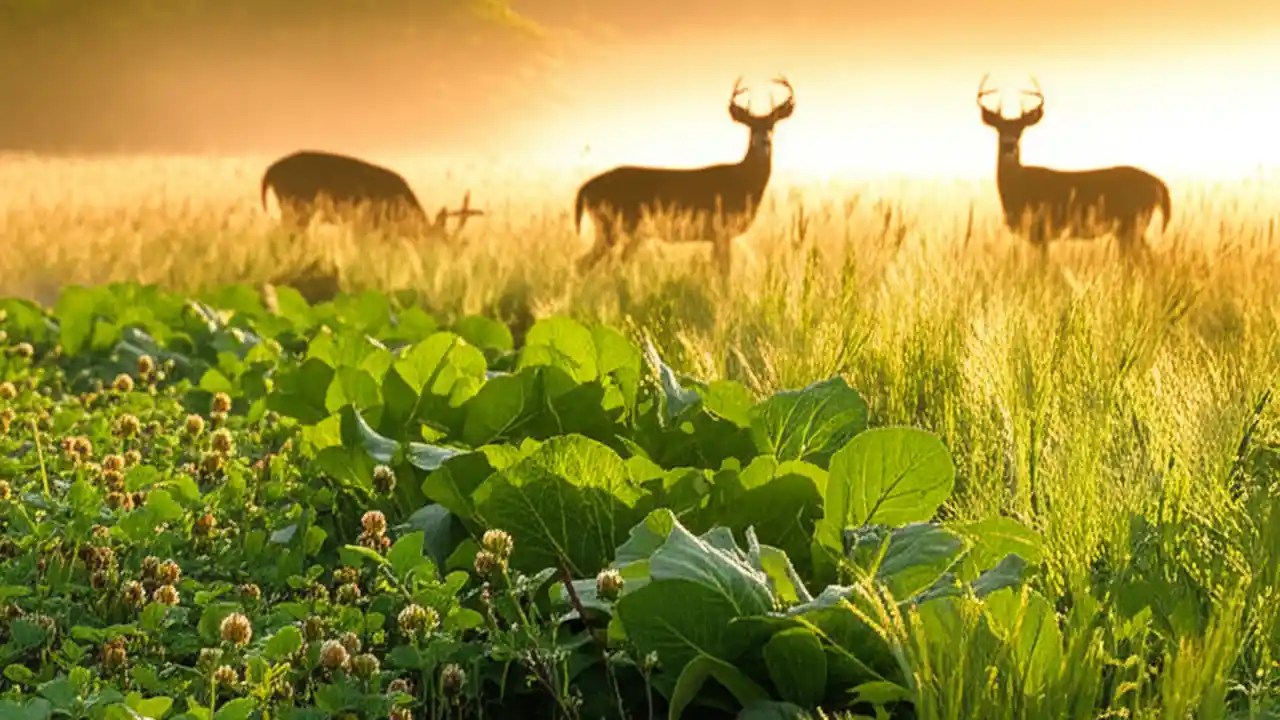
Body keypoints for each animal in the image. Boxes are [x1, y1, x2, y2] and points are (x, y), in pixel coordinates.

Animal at [572, 76, 796, 278]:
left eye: (772, 125)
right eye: (750, 126)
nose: (763, 141)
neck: (744, 181)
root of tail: (584, 189)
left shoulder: (717, 236)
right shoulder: (721, 230)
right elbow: (724, 274)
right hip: (612, 226)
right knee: (584, 264)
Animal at [976, 74, 1171, 256]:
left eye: (1021, 130)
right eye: (999, 128)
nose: (1009, 144)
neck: (1017, 188)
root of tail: (1159, 184)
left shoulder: (1042, 231)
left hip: (1131, 223)